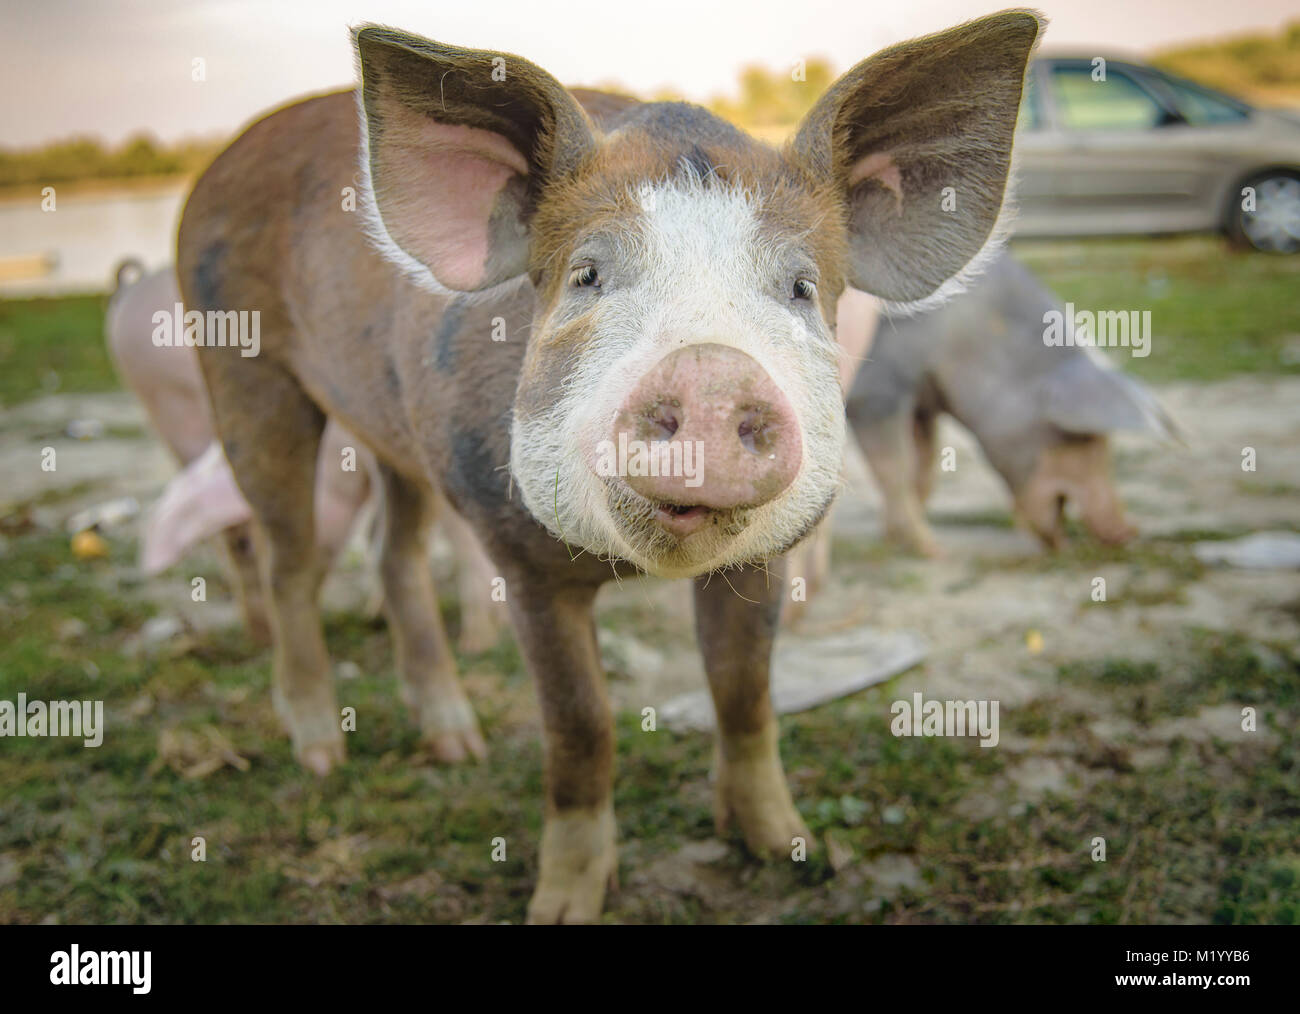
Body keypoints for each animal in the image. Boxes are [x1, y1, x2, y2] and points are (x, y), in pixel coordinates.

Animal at [175, 12, 1043, 921]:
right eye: (588, 274)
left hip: (390, 433)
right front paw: (562, 906)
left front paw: (797, 853)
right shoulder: (519, 559)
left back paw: (457, 745)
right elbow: (580, 727)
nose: (709, 373)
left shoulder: (767, 557)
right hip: (241, 366)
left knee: (393, 553)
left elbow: (745, 693)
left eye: (802, 287)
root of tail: (224, 160)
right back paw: (320, 756)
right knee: (291, 561)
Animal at [843, 250, 1179, 558]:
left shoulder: (921, 403)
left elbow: (924, 470)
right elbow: (895, 472)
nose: (1129, 531)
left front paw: (892, 541)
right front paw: (937, 552)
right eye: (1077, 437)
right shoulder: (875, 393)